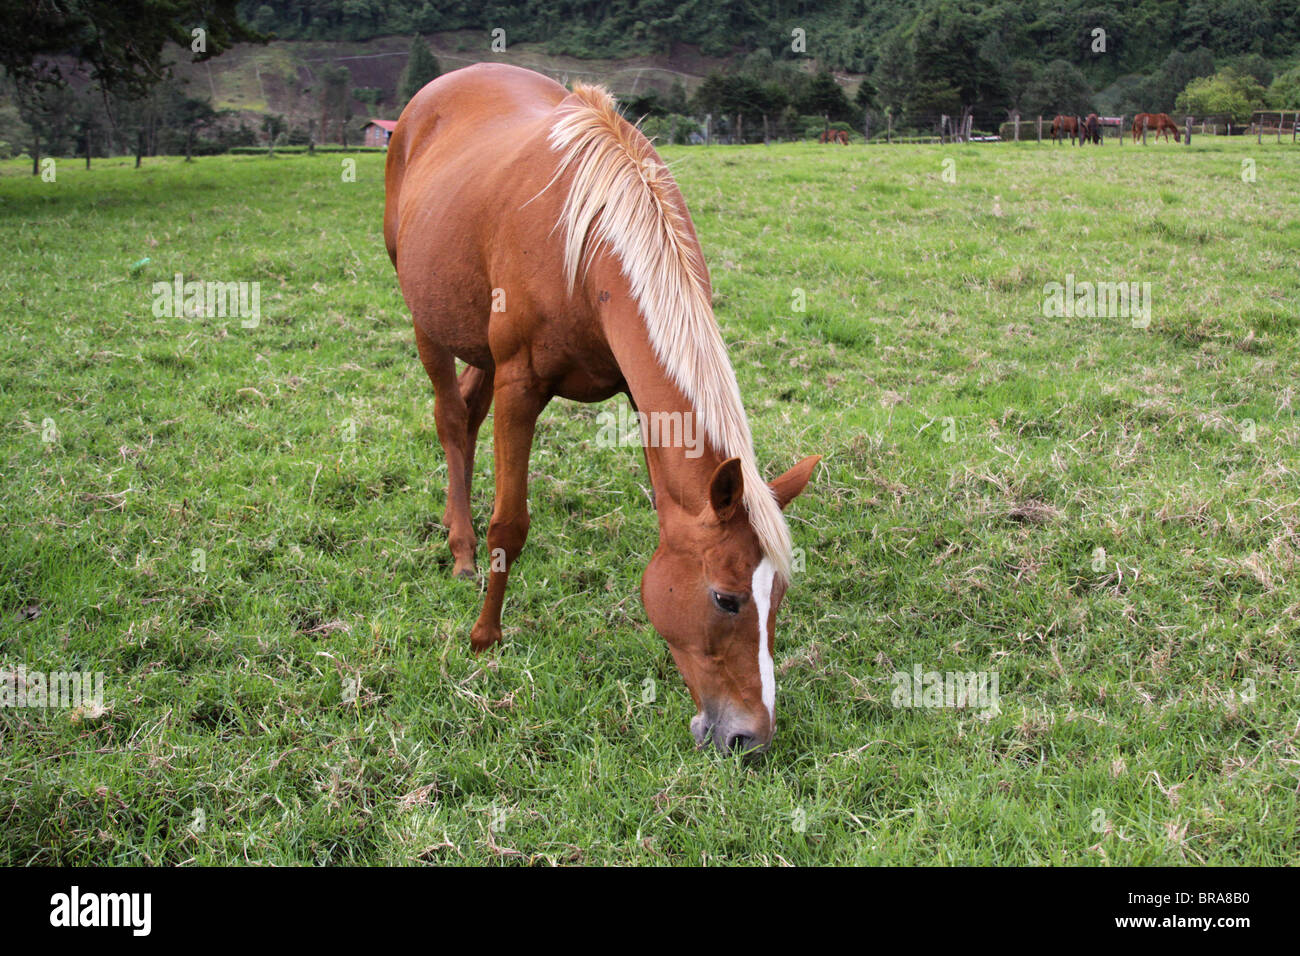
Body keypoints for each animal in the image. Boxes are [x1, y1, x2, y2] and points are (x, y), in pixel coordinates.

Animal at [384, 64, 819, 755]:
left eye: (777, 594)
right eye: (726, 599)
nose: (750, 738)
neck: (589, 241)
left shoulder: (635, 391)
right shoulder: (520, 385)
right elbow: (510, 525)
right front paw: (485, 638)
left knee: (468, 416)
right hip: (429, 322)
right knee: (452, 420)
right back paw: (461, 550)